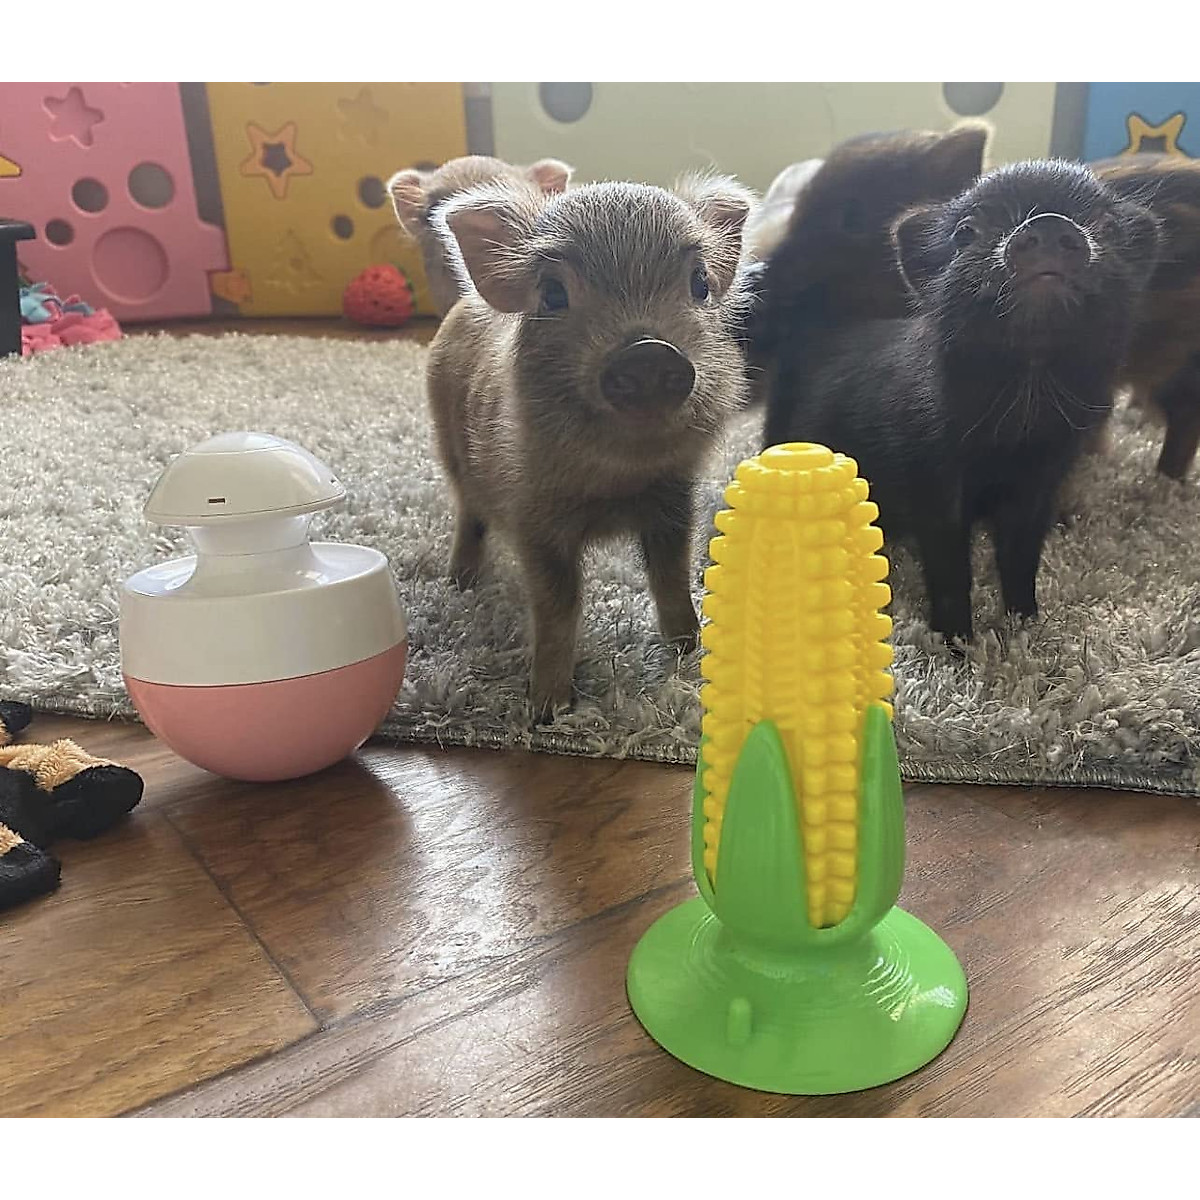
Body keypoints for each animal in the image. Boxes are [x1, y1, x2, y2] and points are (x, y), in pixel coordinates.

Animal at [426, 175, 754, 716]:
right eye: (553, 292)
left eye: (699, 284)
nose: (649, 351)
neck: (614, 488)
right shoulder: (534, 520)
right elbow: (559, 604)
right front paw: (546, 710)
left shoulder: (674, 502)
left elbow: (672, 577)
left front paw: (688, 653)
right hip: (451, 454)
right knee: (469, 517)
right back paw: (460, 584)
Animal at [762, 160, 1158, 642]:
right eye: (966, 231)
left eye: (1107, 225)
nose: (1047, 224)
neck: (1022, 416)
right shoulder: (931, 473)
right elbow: (950, 567)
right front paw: (957, 644)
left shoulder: (1043, 476)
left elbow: (1022, 555)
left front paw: (1026, 627)